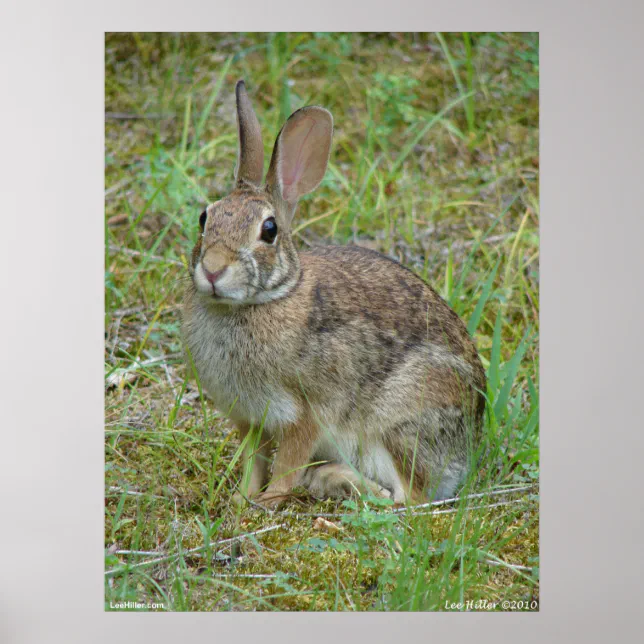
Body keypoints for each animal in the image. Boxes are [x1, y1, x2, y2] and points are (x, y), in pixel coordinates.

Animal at [182, 80, 486, 508]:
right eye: (204, 217)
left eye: (269, 230)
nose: (212, 268)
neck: (264, 300)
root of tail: (469, 448)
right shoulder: (249, 418)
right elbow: (253, 462)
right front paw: (242, 500)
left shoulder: (305, 413)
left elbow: (286, 465)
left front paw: (267, 502)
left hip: (399, 421)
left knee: (406, 498)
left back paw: (333, 478)